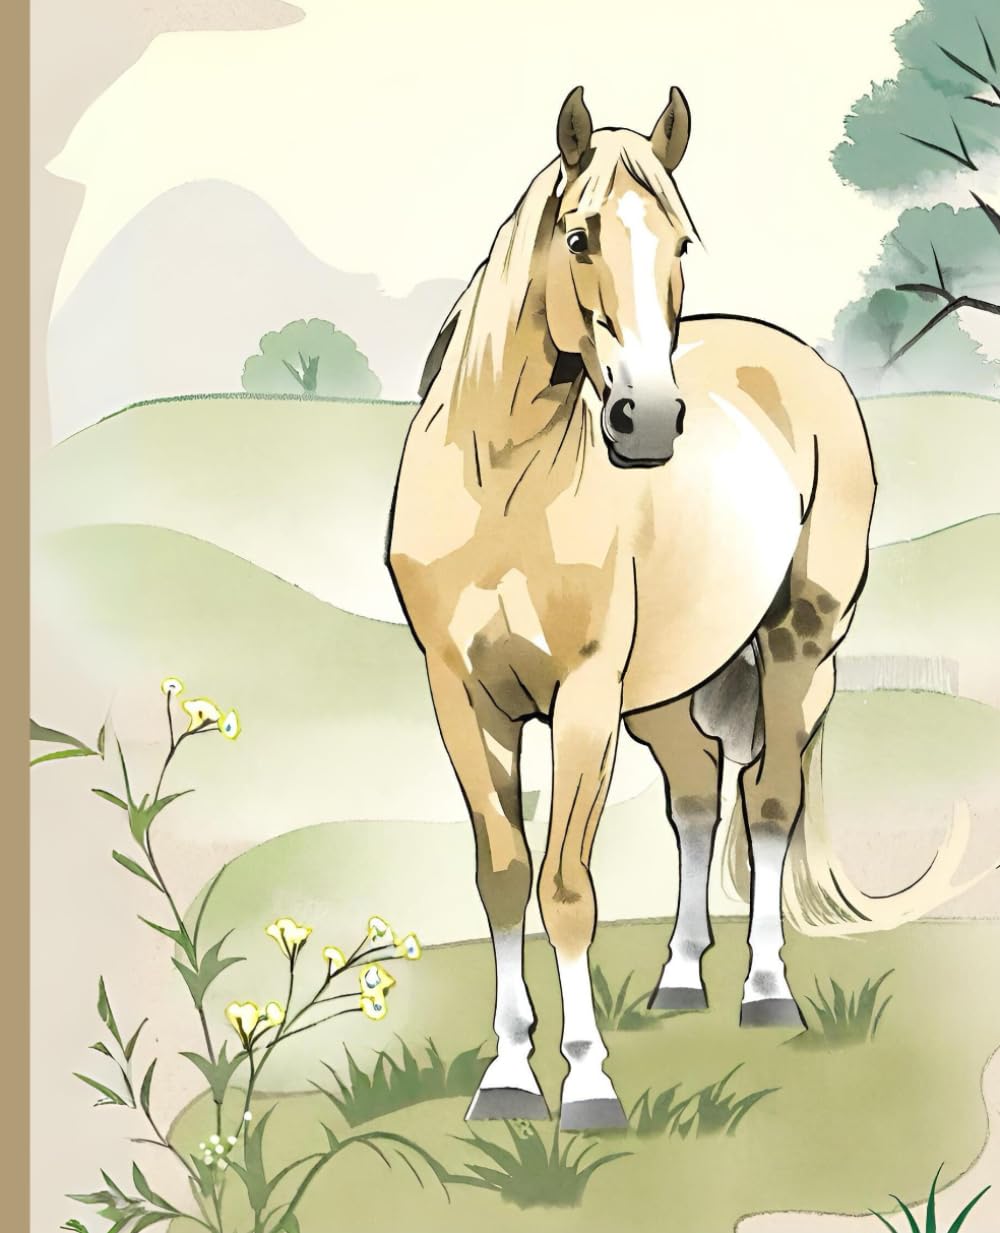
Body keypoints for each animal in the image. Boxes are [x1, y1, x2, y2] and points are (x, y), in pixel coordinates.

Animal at [386, 86, 949, 1131]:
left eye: (681, 241)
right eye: (577, 235)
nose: (645, 420)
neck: (501, 487)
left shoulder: (583, 698)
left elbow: (568, 886)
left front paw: (588, 1084)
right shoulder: (461, 694)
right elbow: (503, 875)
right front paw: (508, 1076)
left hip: (794, 647)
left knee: (767, 801)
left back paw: (765, 990)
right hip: (665, 689)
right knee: (694, 793)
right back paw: (682, 976)